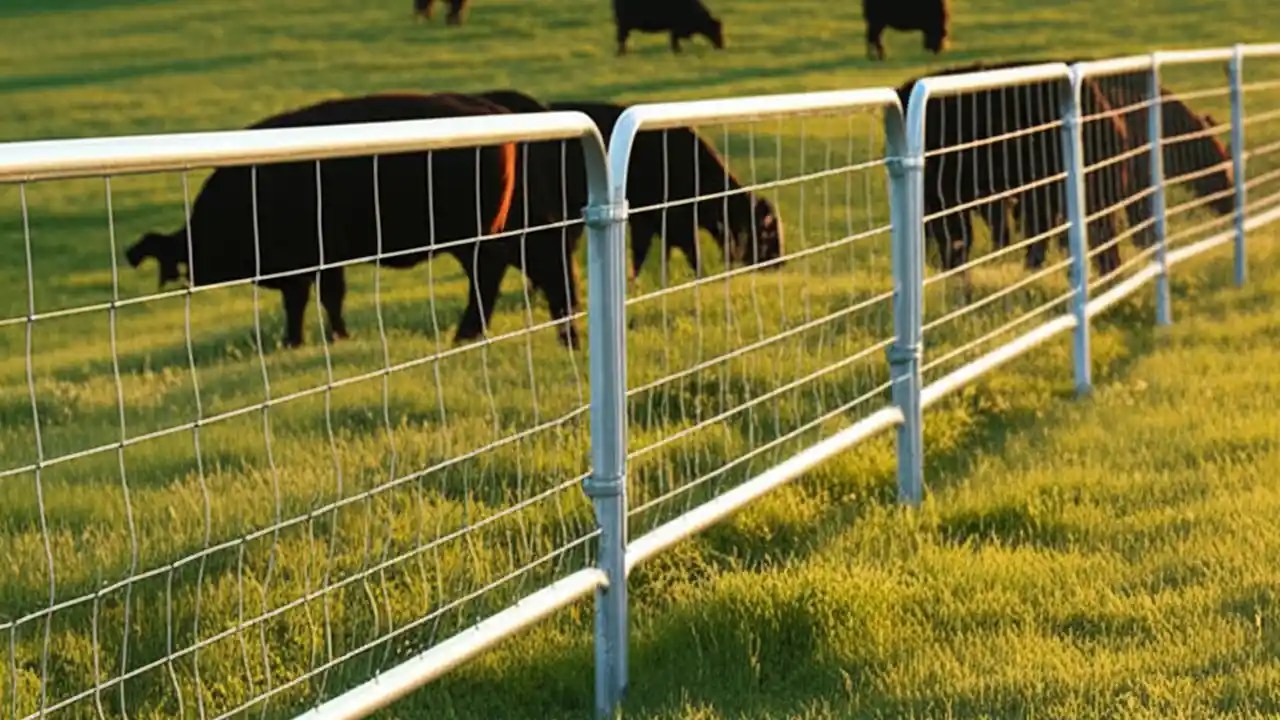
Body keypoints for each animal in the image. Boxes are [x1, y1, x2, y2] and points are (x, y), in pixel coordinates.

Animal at [124, 93, 561, 350]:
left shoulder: (317, 256)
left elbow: (320, 297)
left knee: (488, 272)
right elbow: (306, 300)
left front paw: (322, 338)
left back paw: (466, 332)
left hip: (470, 236)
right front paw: (303, 340)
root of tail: (491, 109)